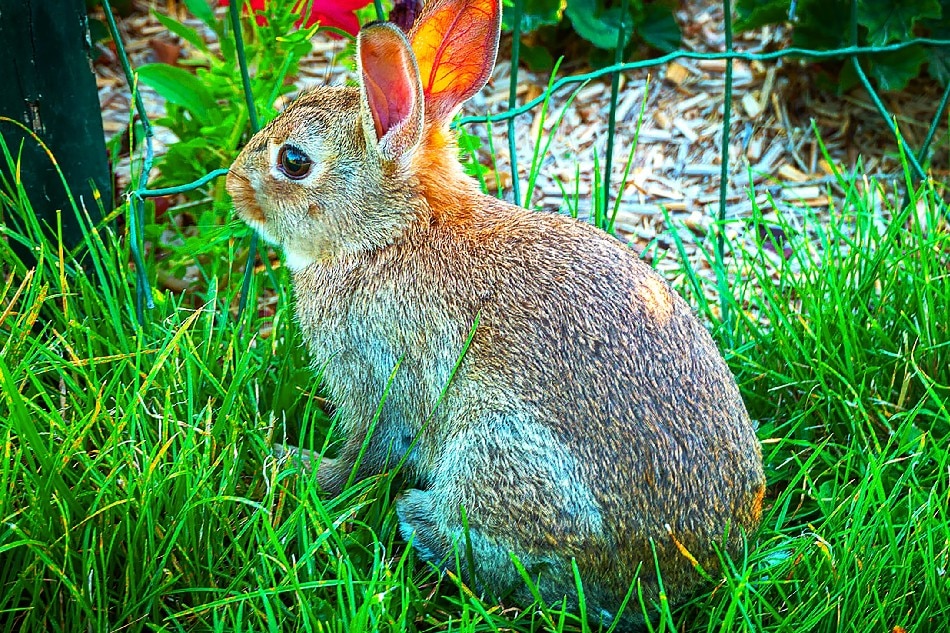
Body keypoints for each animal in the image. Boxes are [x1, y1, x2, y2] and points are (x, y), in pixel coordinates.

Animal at [226, 0, 766, 628]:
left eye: (293, 161)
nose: (233, 187)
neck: (390, 232)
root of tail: (686, 567)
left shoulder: (377, 377)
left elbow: (367, 453)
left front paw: (297, 468)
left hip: (498, 454)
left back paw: (420, 523)